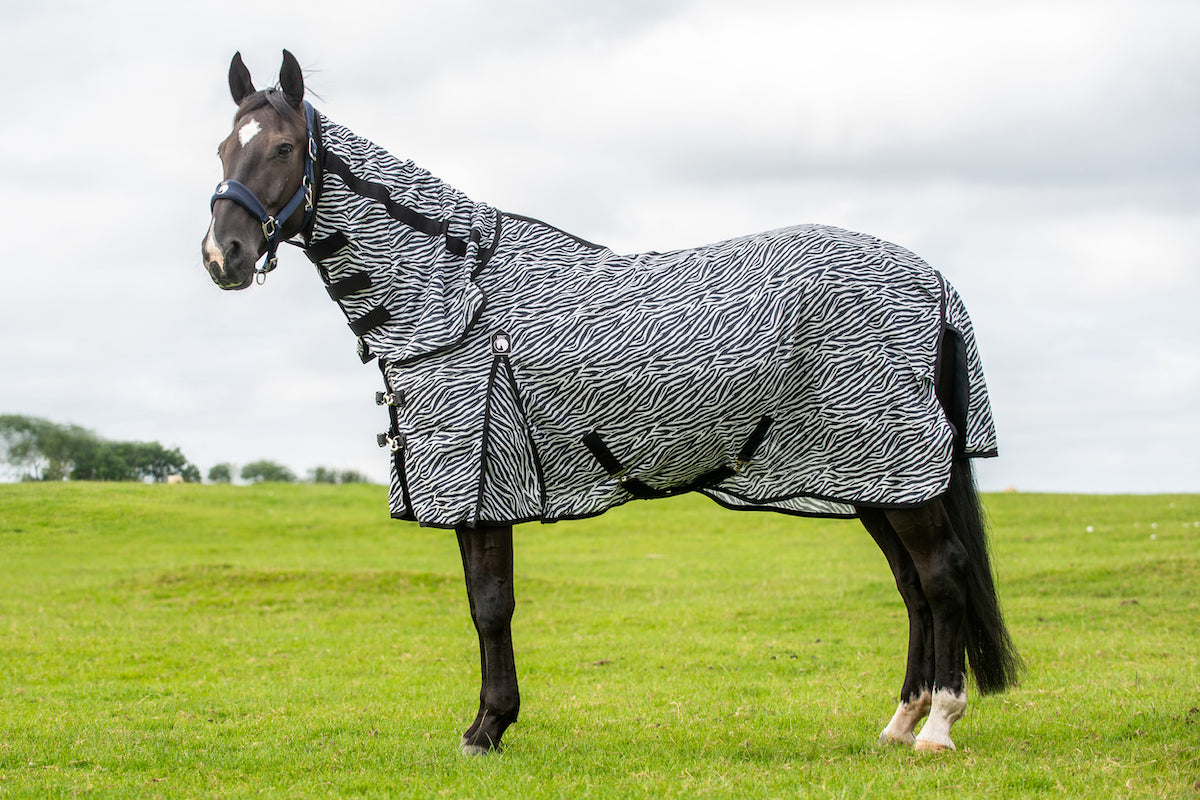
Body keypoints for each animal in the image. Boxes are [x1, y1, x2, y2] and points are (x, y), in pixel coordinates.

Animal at [202, 50, 1020, 755]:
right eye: (221, 149)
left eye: (282, 148)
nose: (222, 256)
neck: (457, 294)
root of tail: (930, 278)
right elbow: (481, 601)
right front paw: (489, 723)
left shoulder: (480, 485)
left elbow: (490, 604)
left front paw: (487, 728)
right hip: (871, 479)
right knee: (914, 587)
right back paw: (900, 720)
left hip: (898, 469)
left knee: (942, 575)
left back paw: (938, 726)